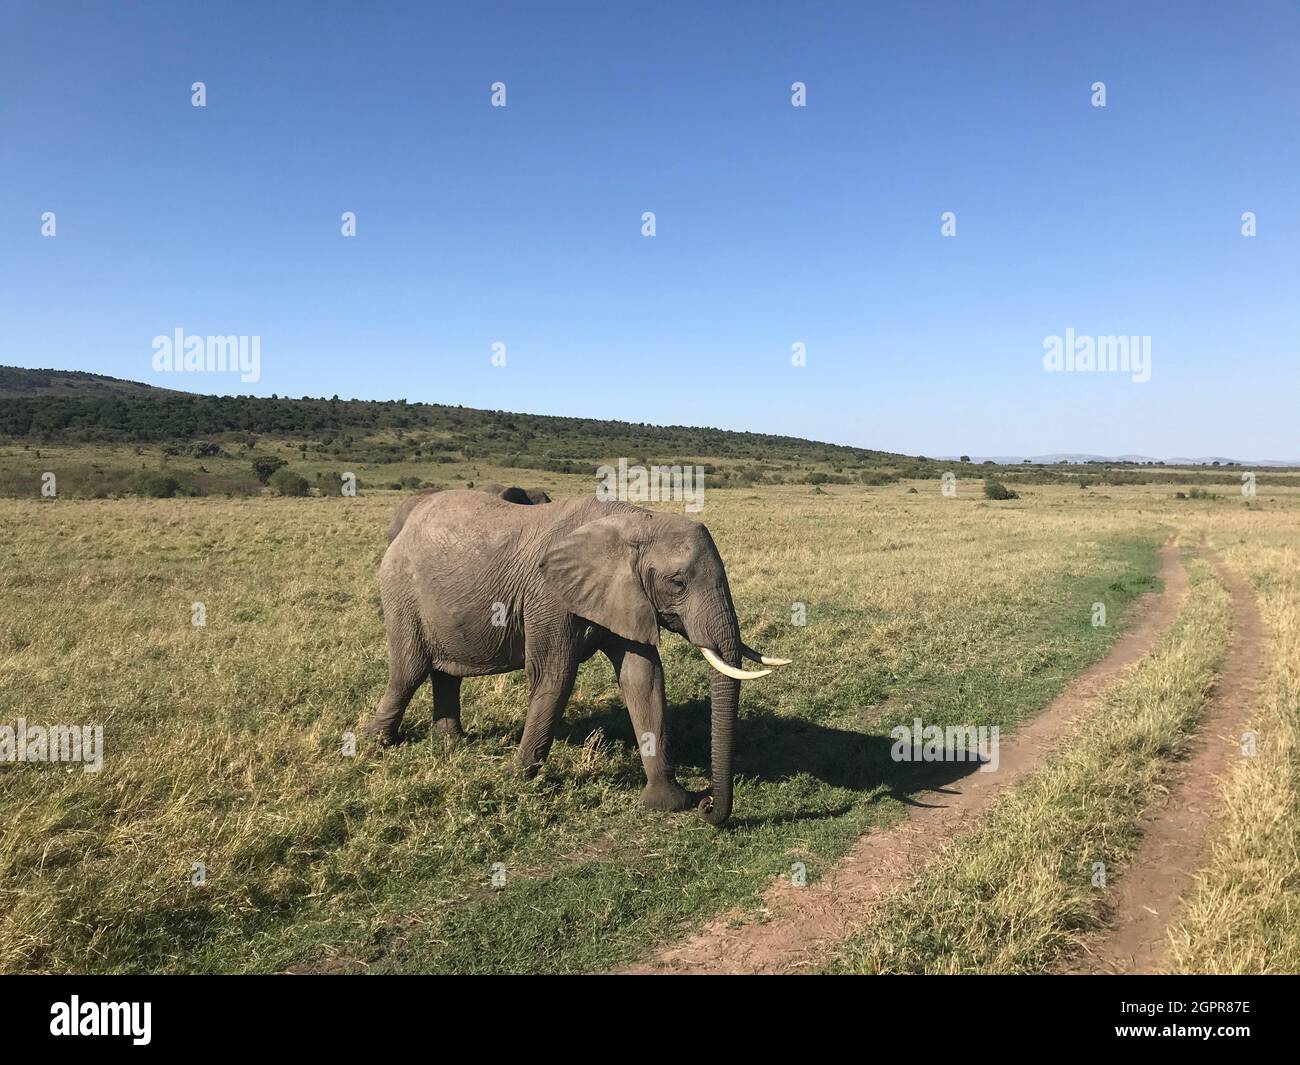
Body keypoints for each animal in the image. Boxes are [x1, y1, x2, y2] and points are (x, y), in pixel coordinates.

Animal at [367, 490, 790, 826]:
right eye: (677, 582)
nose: (707, 806)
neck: (636, 520)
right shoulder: (548, 597)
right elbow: (554, 676)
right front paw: (516, 776)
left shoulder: (623, 594)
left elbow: (643, 677)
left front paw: (668, 803)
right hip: (400, 589)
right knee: (408, 671)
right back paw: (376, 744)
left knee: (444, 672)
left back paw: (452, 743)